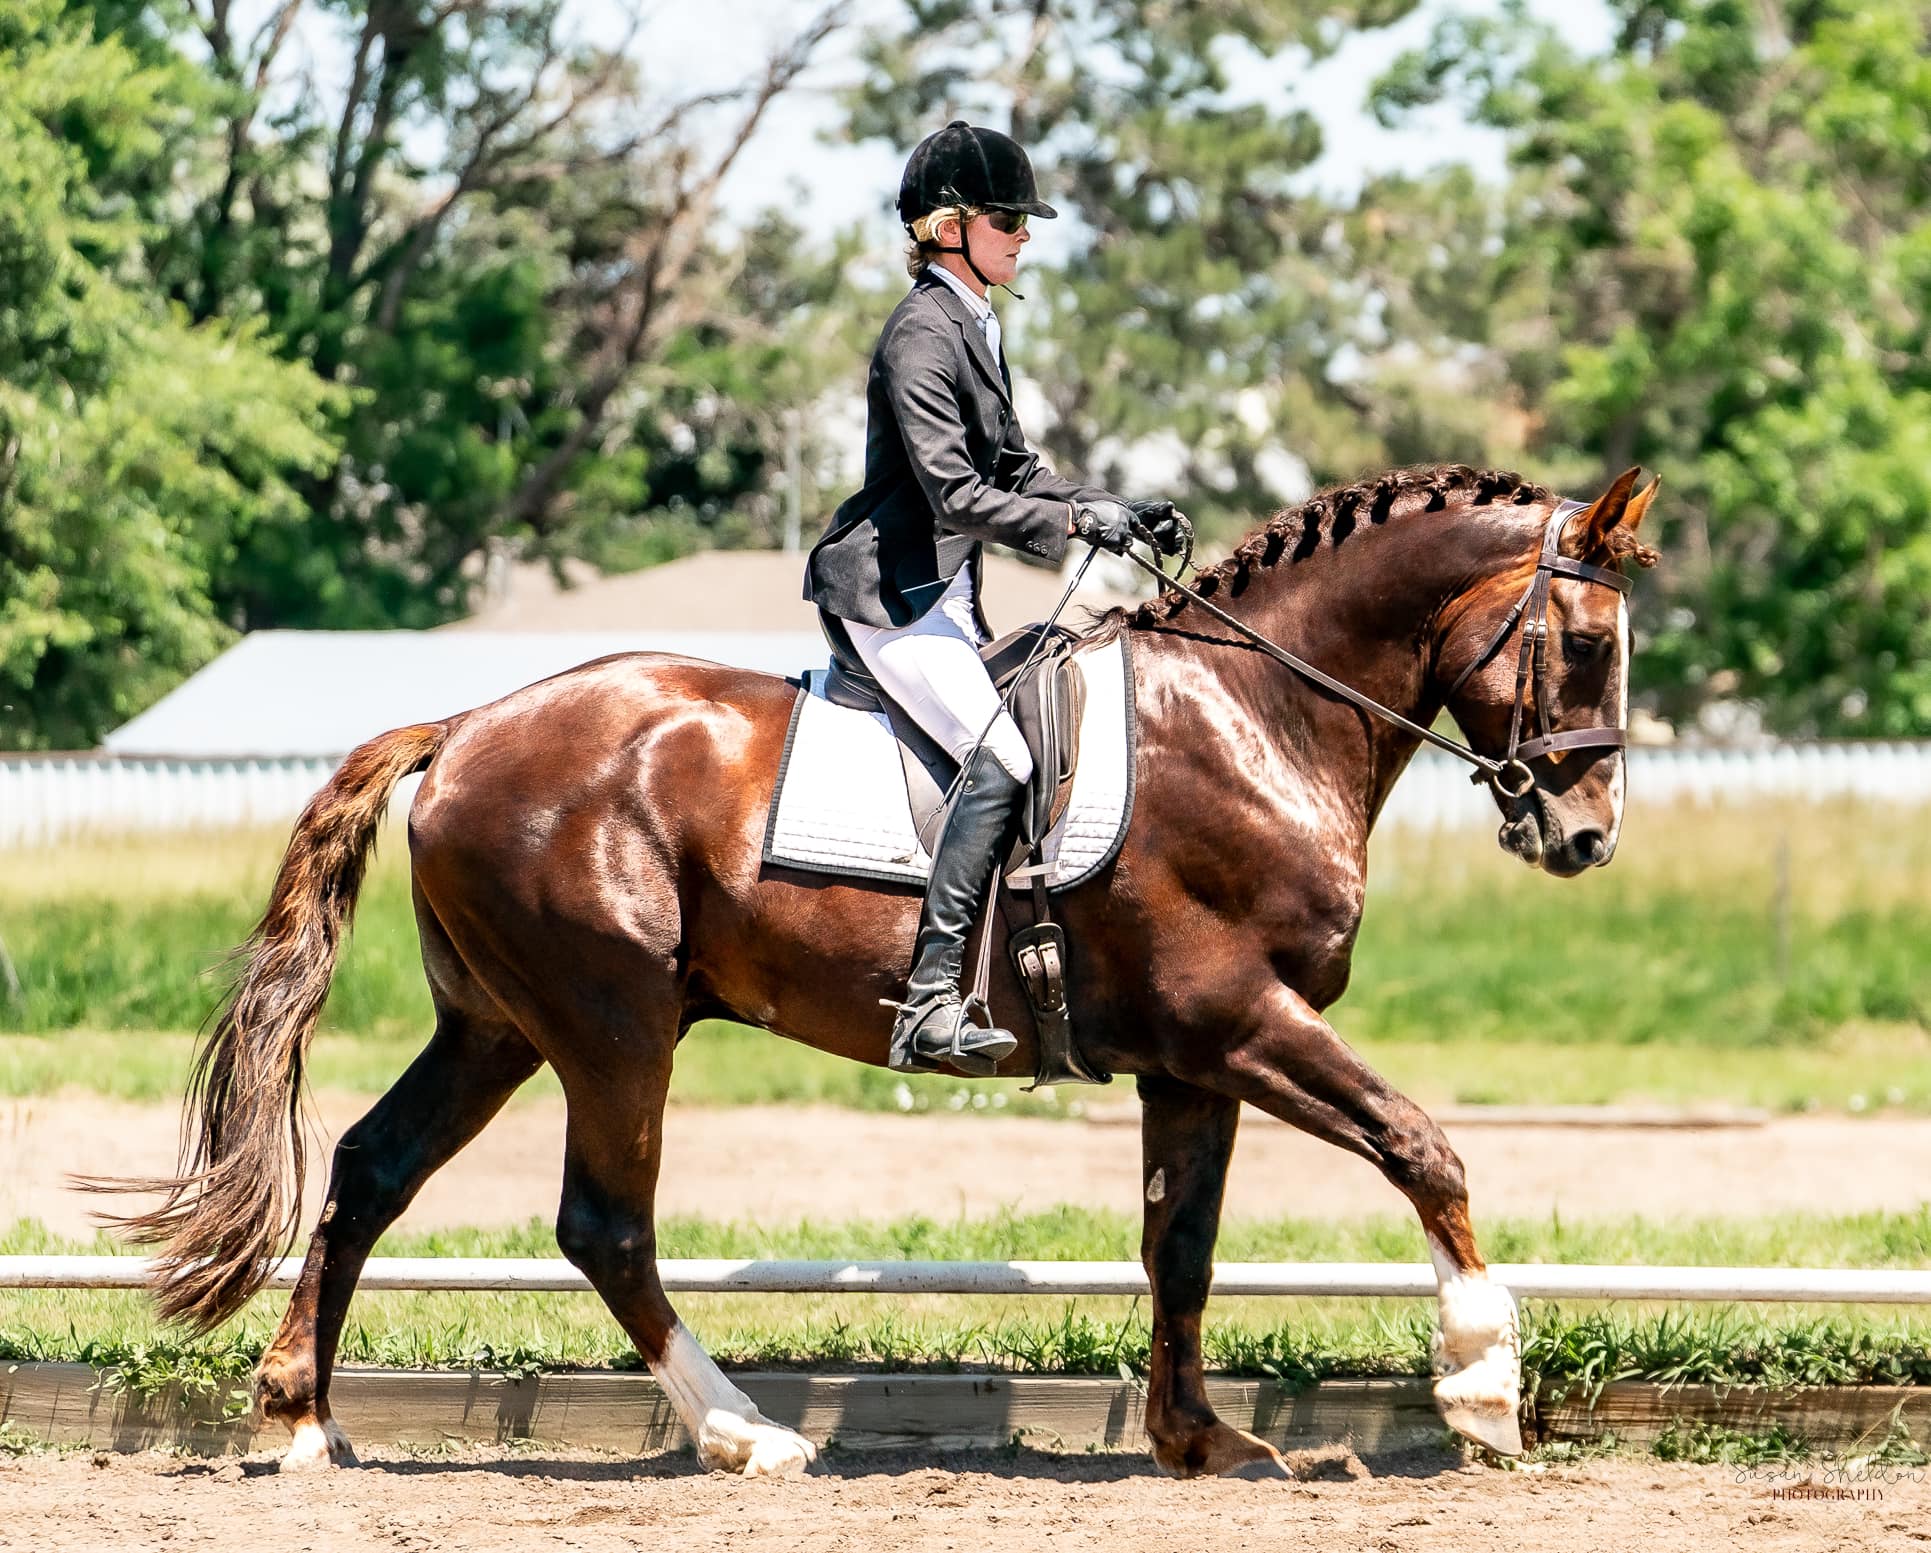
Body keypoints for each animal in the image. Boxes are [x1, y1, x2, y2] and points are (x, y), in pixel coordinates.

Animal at [102, 460, 1658, 1480]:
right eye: (1584, 644)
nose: (1584, 836)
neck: (1255, 714)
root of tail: (469, 722)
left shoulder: (1188, 1060)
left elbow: (1180, 1241)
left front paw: (1199, 1439)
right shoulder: (1238, 1019)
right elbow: (1421, 1144)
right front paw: (1483, 1385)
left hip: (496, 1025)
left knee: (370, 1168)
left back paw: (303, 1420)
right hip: (611, 1023)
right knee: (603, 1223)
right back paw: (745, 1435)